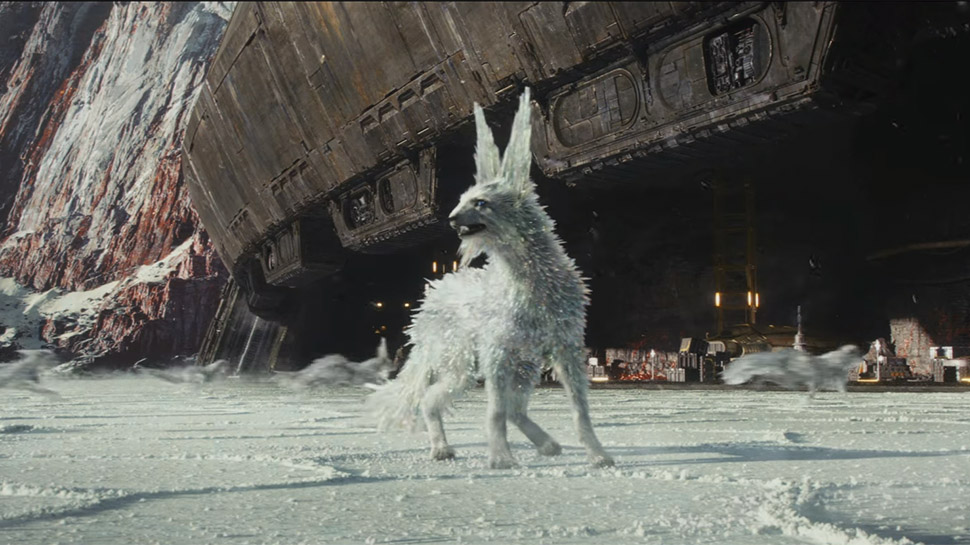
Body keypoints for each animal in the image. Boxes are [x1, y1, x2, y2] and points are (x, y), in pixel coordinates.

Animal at [366, 88, 614, 469]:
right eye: (461, 200)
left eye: (480, 202)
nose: (451, 219)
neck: (530, 280)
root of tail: (432, 293)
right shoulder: (496, 353)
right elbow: (495, 411)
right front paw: (500, 457)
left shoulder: (567, 349)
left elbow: (579, 410)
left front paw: (597, 453)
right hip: (460, 360)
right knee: (433, 399)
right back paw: (441, 448)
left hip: (524, 364)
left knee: (513, 408)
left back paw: (546, 444)